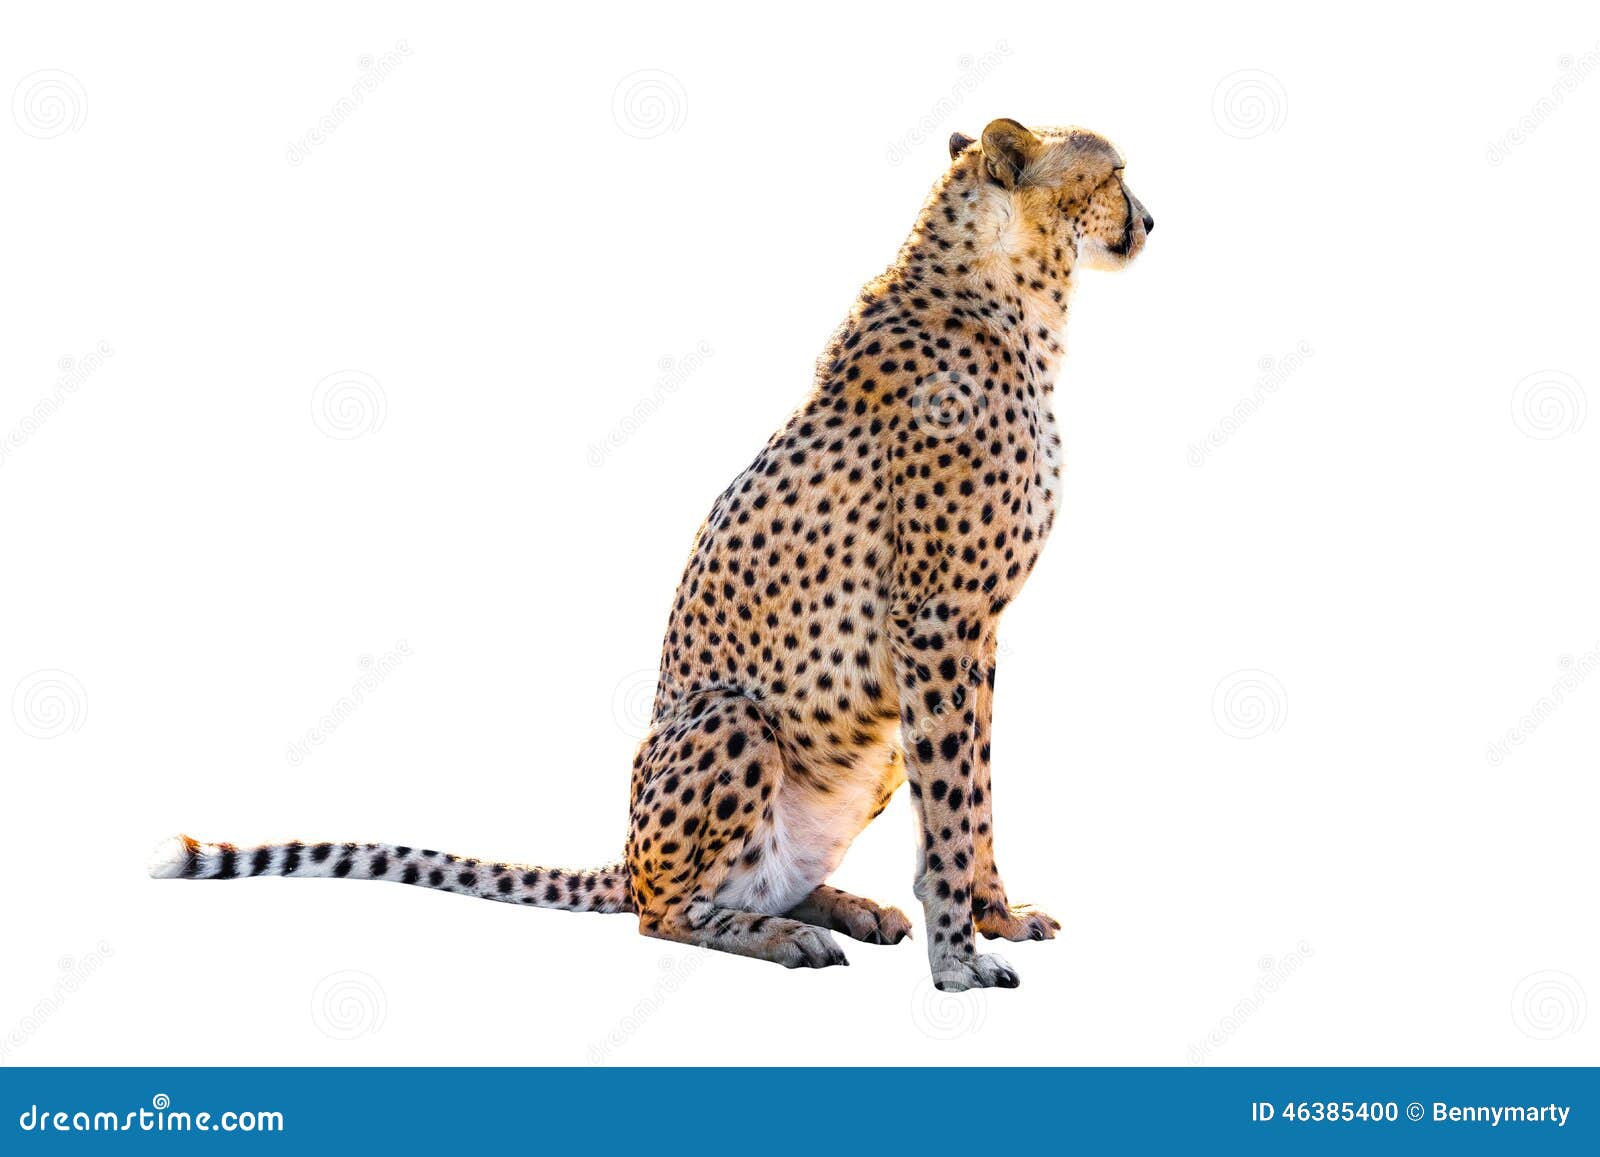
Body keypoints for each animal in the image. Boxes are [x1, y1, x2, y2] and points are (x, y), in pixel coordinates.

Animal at [150, 119, 1154, 992]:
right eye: (1113, 174)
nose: (1150, 221)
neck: (1013, 295)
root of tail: (627, 857)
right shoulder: (936, 621)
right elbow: (950, 807)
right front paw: (958, 963)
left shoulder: (976, 633)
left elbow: (976, 792)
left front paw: (995, 917)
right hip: (732, 717)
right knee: (664, 911)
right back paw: (784, 934)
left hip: (866, 750)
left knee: (758, 878)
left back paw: (840, 905)